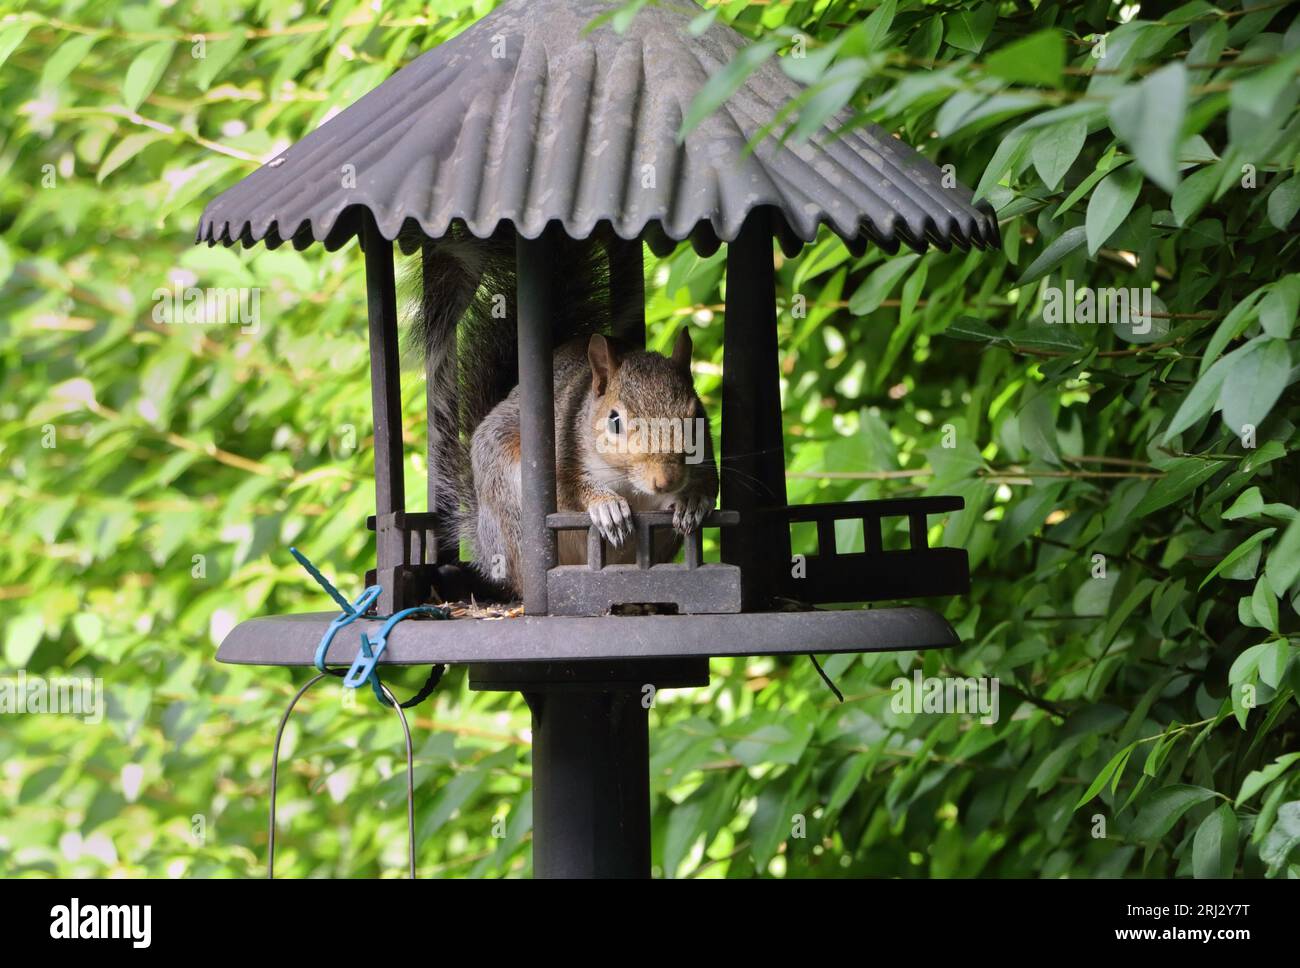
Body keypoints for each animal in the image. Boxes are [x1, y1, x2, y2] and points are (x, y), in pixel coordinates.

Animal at [404, 226, 718, 600]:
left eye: (696, 415)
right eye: (614, 421)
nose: (665, 480)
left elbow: (710, 483)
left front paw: (691, 500)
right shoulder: (560, 444)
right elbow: (569, 489)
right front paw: (605, 505)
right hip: (512, 513)